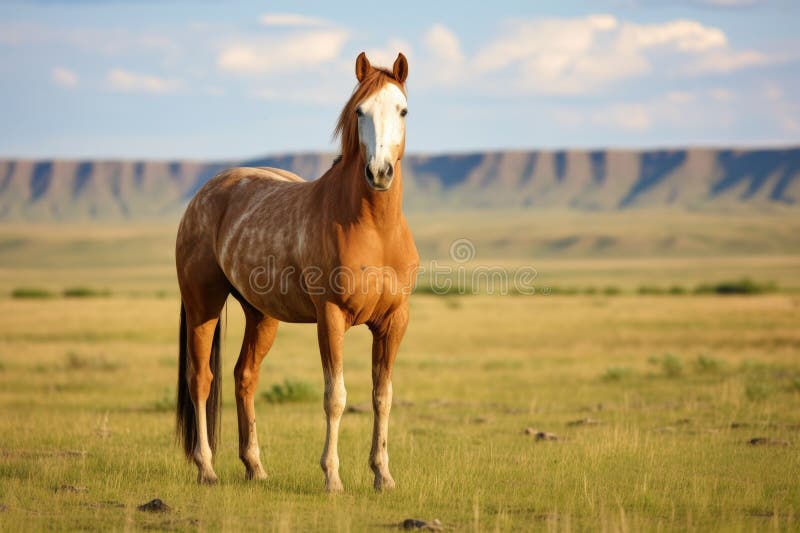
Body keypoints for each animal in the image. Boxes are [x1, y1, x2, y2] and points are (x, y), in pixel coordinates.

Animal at [175, 52, 418, 492]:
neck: (375, 229)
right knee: (201, 378)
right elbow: (335, 396)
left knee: (244, 376)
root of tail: (205, 192)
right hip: (203, 304)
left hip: (261, 315)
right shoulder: (332, 317)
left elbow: (382, 395)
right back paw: (207, 468)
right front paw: (332, 476)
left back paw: (254, 466)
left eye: (402, 109)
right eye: (359, 111)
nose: (379, 172)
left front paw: (383, 474)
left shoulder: (394, 320)